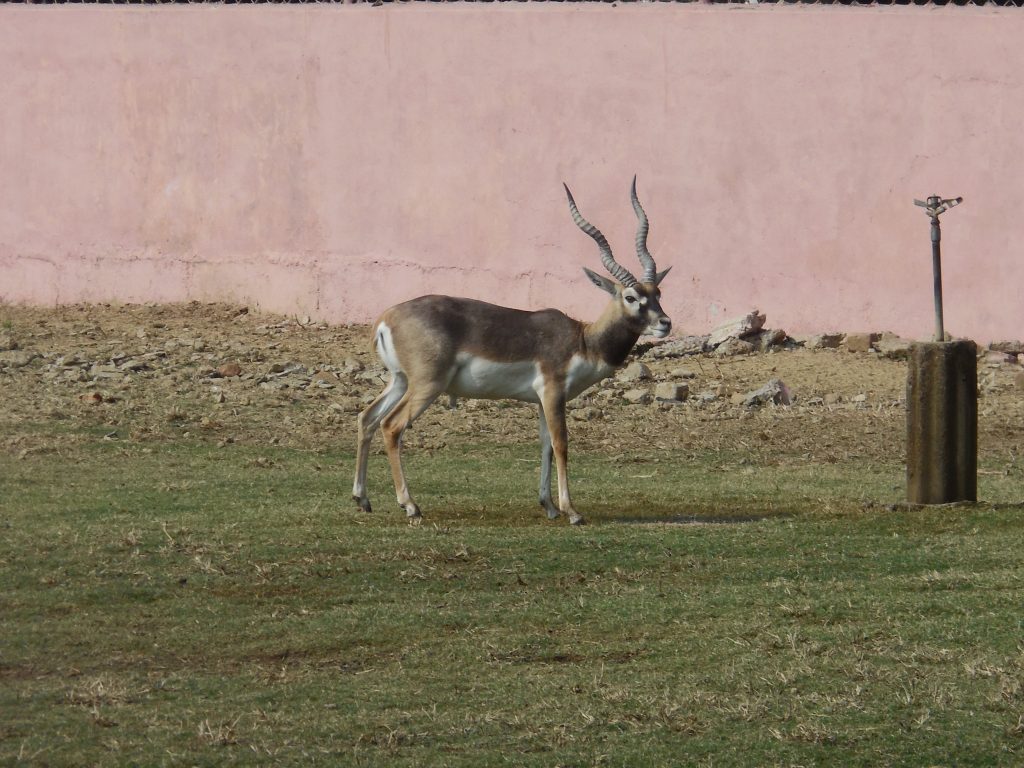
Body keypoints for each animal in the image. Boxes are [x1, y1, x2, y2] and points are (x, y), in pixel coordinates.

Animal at [352, 178, 672, 525]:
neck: (583, 339)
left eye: (657, 293)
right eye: (631, 297)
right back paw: (410, 505)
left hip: (399, 381)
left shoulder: (541, 400)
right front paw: (571, 511)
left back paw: (362, 498)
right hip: (427, 385)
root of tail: (387, 318)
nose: (665, 323)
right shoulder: (553, 391)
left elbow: (545, 445)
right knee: (391, 426)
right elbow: (561, 444)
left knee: (367, 418)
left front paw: (548, 506)